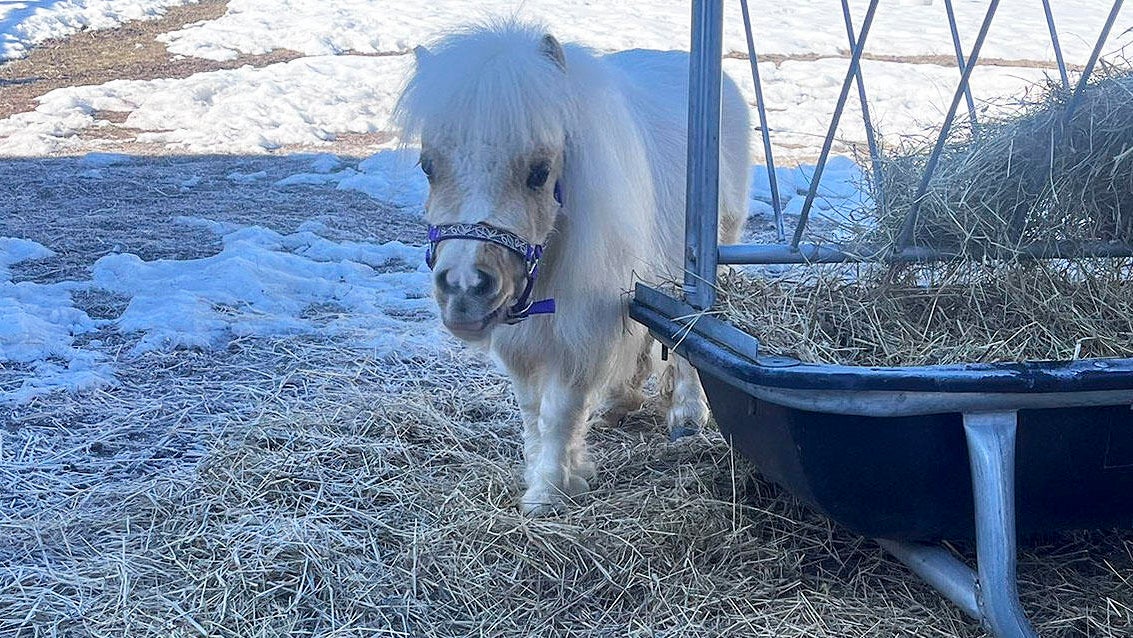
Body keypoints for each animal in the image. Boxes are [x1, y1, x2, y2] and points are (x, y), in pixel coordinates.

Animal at [395, 21, 750, 514]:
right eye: (428, 166)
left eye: (540, 172)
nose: (464, 288)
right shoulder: (522, 338)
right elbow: (532, 411)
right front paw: (542, 473)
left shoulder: (580, 331)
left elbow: (559, 409)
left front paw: (549, 493)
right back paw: (618, 402)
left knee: (689, 338)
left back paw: (686, 416)